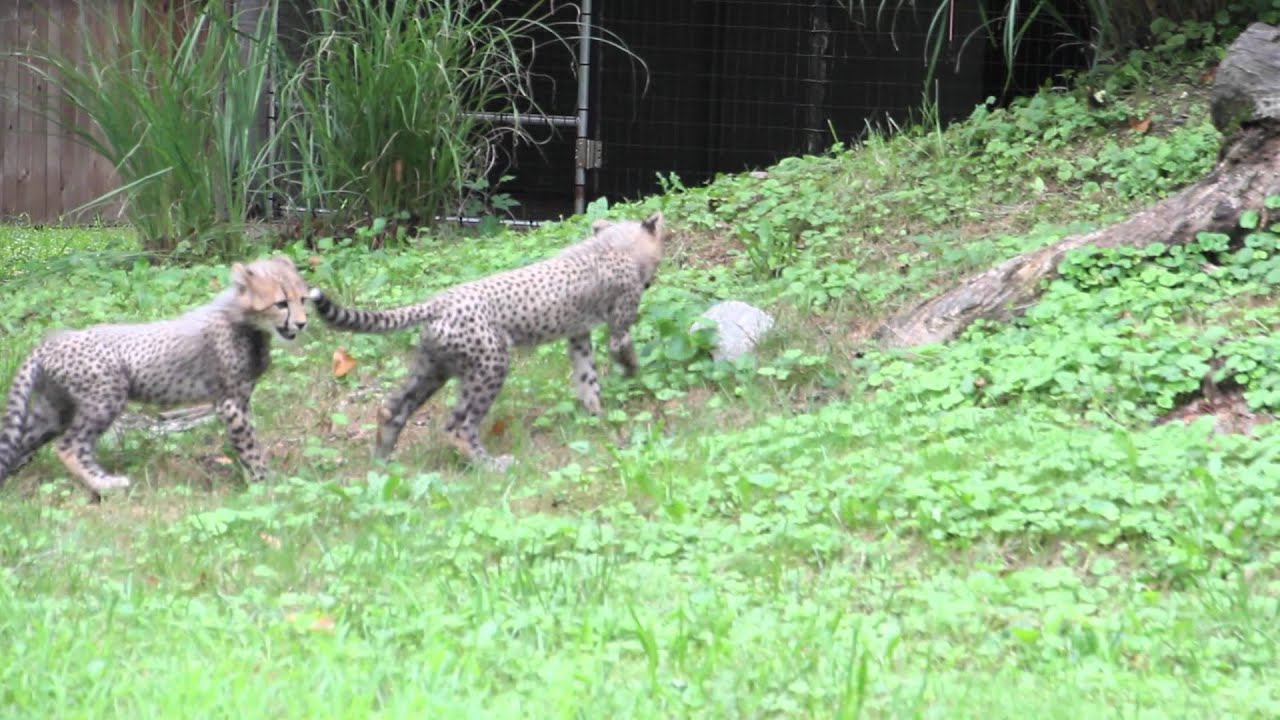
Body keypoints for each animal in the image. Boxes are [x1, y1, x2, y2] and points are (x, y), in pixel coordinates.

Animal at [0, 256, 312, 498]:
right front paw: (267, 483)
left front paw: (254, 477)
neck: (242, 320)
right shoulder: (229, 403)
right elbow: (249, 444)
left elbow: (247, 441)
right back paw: (107, 485)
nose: (302, 323)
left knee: (23, 440)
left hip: (55, 410)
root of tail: (50, 341)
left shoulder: (241, 401)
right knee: (70, 447)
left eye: (303, 300)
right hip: (106, 395)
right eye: (281, 303)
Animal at [308, 211, 667, 470]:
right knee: (459, 426)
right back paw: (491, 465)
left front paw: (596, 415)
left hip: (435, 367)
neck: (612, 245)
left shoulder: (578, 335)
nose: (653, 281)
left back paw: (382, 462)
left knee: (392, 408)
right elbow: (624, 353)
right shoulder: (618, 326)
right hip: (490, 365)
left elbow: (586, 378)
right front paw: (636, 381)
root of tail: (439, 300)